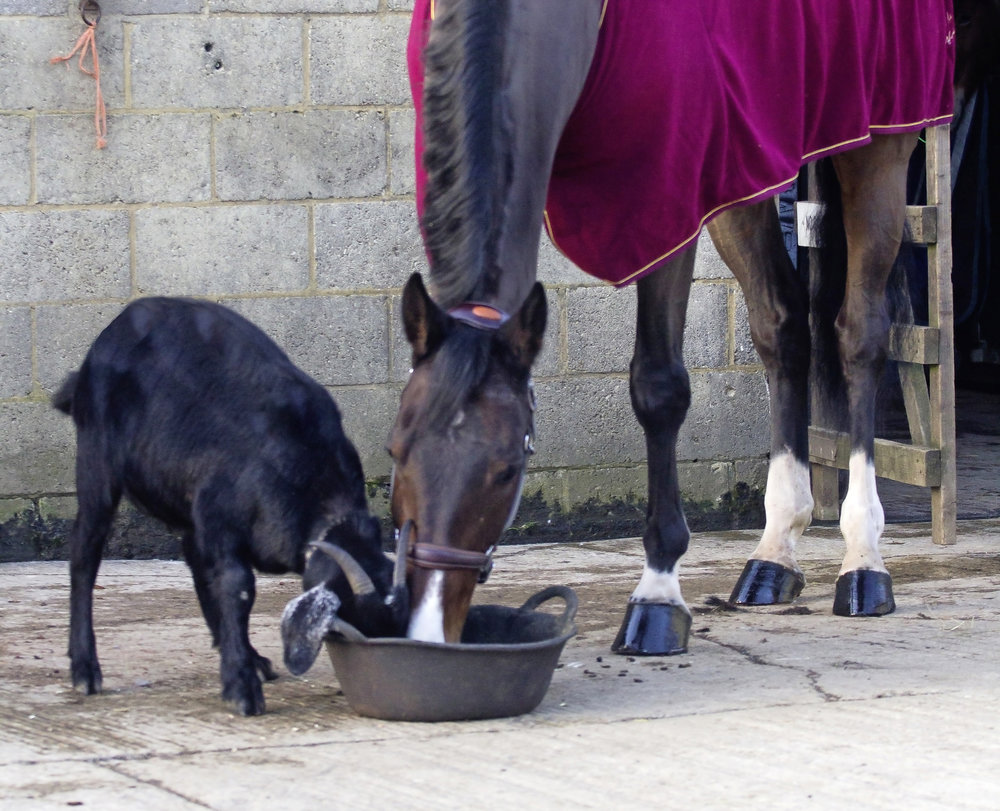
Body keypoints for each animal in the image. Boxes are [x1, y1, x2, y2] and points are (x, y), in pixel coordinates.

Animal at [390, 0, 956, 651]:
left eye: (507, 468)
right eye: (395, 450)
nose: (427, 627)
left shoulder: (663, 203)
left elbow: (658, 387)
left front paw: (657, 594)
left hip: (877, 147)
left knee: (859, 334)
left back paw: (863, 560)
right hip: (744, 181)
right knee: (782, 327)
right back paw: (773, 555)